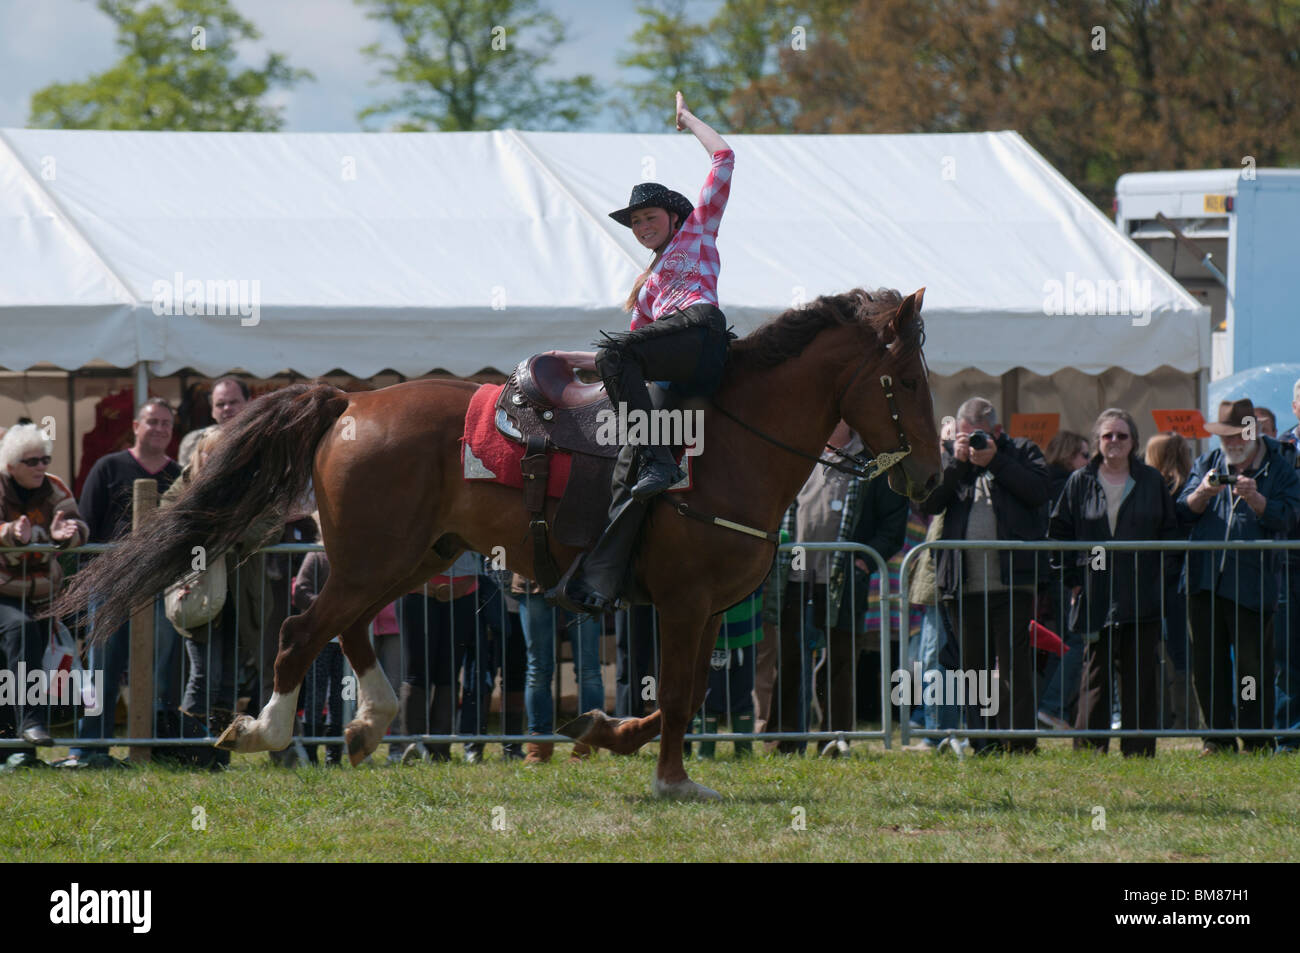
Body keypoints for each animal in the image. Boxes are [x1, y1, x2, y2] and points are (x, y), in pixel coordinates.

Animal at [52, 287, 941, 800]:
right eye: (906, 381)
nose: (932, 476)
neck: (716, 443)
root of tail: (349, 405)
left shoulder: (709, 608)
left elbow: (672, 699)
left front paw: (603, 733)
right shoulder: (685, 603)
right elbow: (683, 697)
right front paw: (671, 779)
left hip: (414, 556)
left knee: (343, 629)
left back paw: (369, 722)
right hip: (378, 559)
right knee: (302, 631)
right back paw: (268, 729)